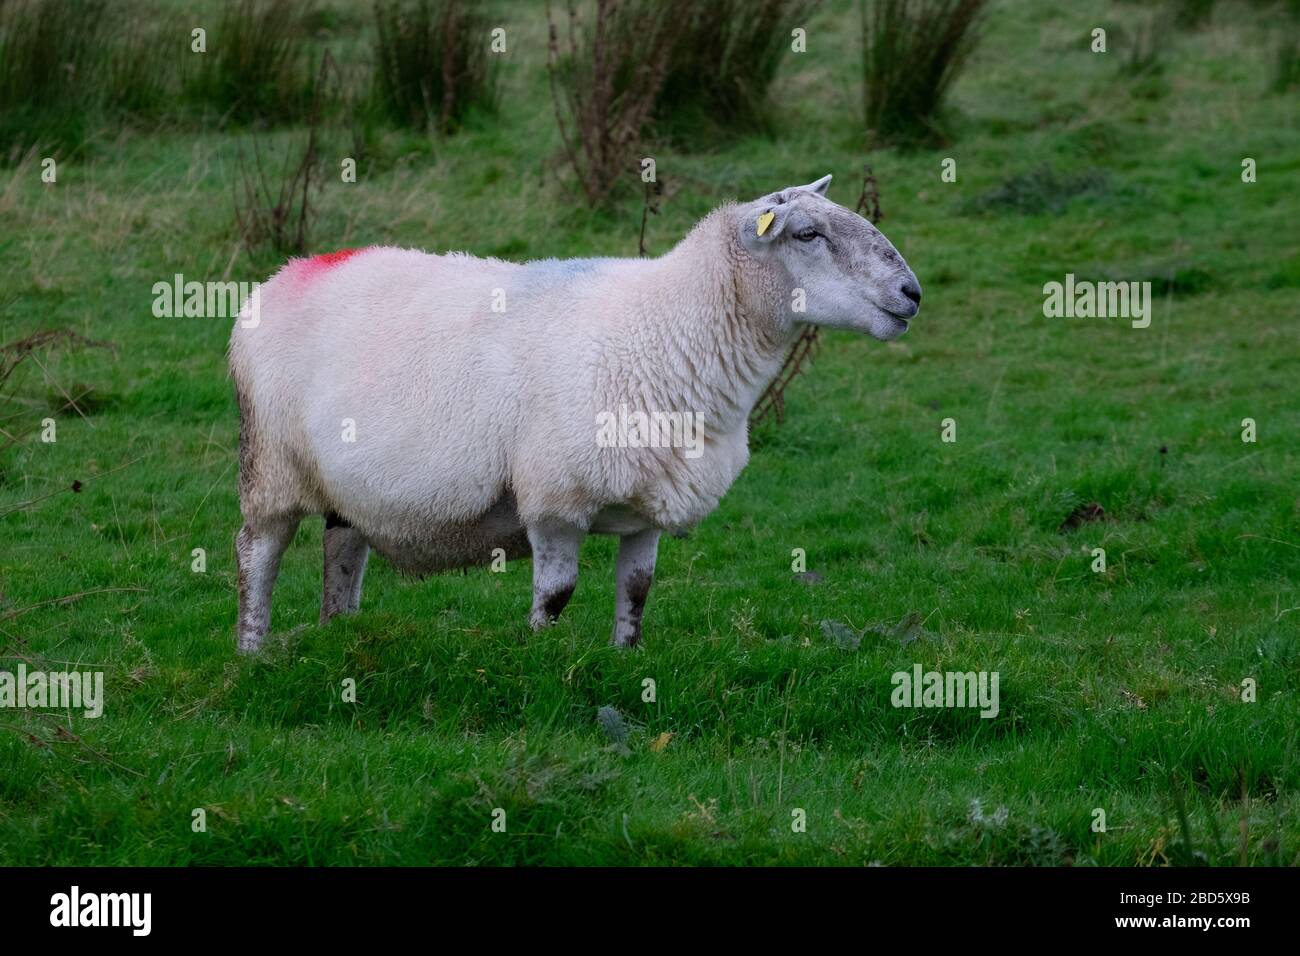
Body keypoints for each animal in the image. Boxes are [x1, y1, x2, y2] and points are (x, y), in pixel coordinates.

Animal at [228, 174, 921, 653]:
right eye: (807, 234)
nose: (912, 293)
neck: (670, 327)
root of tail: (290, 271)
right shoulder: (553, 500)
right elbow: (556, 595)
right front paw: (539, 661)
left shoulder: (650, 500)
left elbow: (637, 592)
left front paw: (624, 658)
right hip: (270, 464)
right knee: (256, 554)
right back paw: (254, 652)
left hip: (342, 482)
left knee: (342, 551)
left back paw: (340, 635)